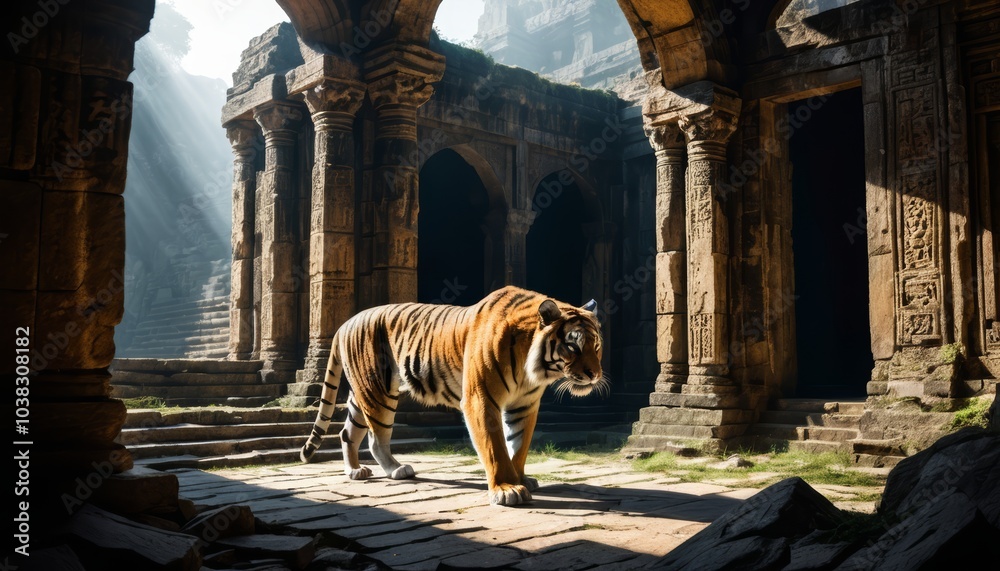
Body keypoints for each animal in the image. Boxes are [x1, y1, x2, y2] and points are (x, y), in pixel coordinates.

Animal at [299, 285, 606, 506]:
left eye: (596, 346)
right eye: (573, 347)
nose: (594, 374)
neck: (533, 366)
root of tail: (345, 322)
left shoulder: (525, 404)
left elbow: (518, 446)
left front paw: (520, 478)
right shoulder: (481, 399)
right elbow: (494, 447)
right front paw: (507, 489)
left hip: (364, 393)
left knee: (347, 432)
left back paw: (355, 472)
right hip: (378, 393)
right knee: (376, 439)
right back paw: (397, 470)